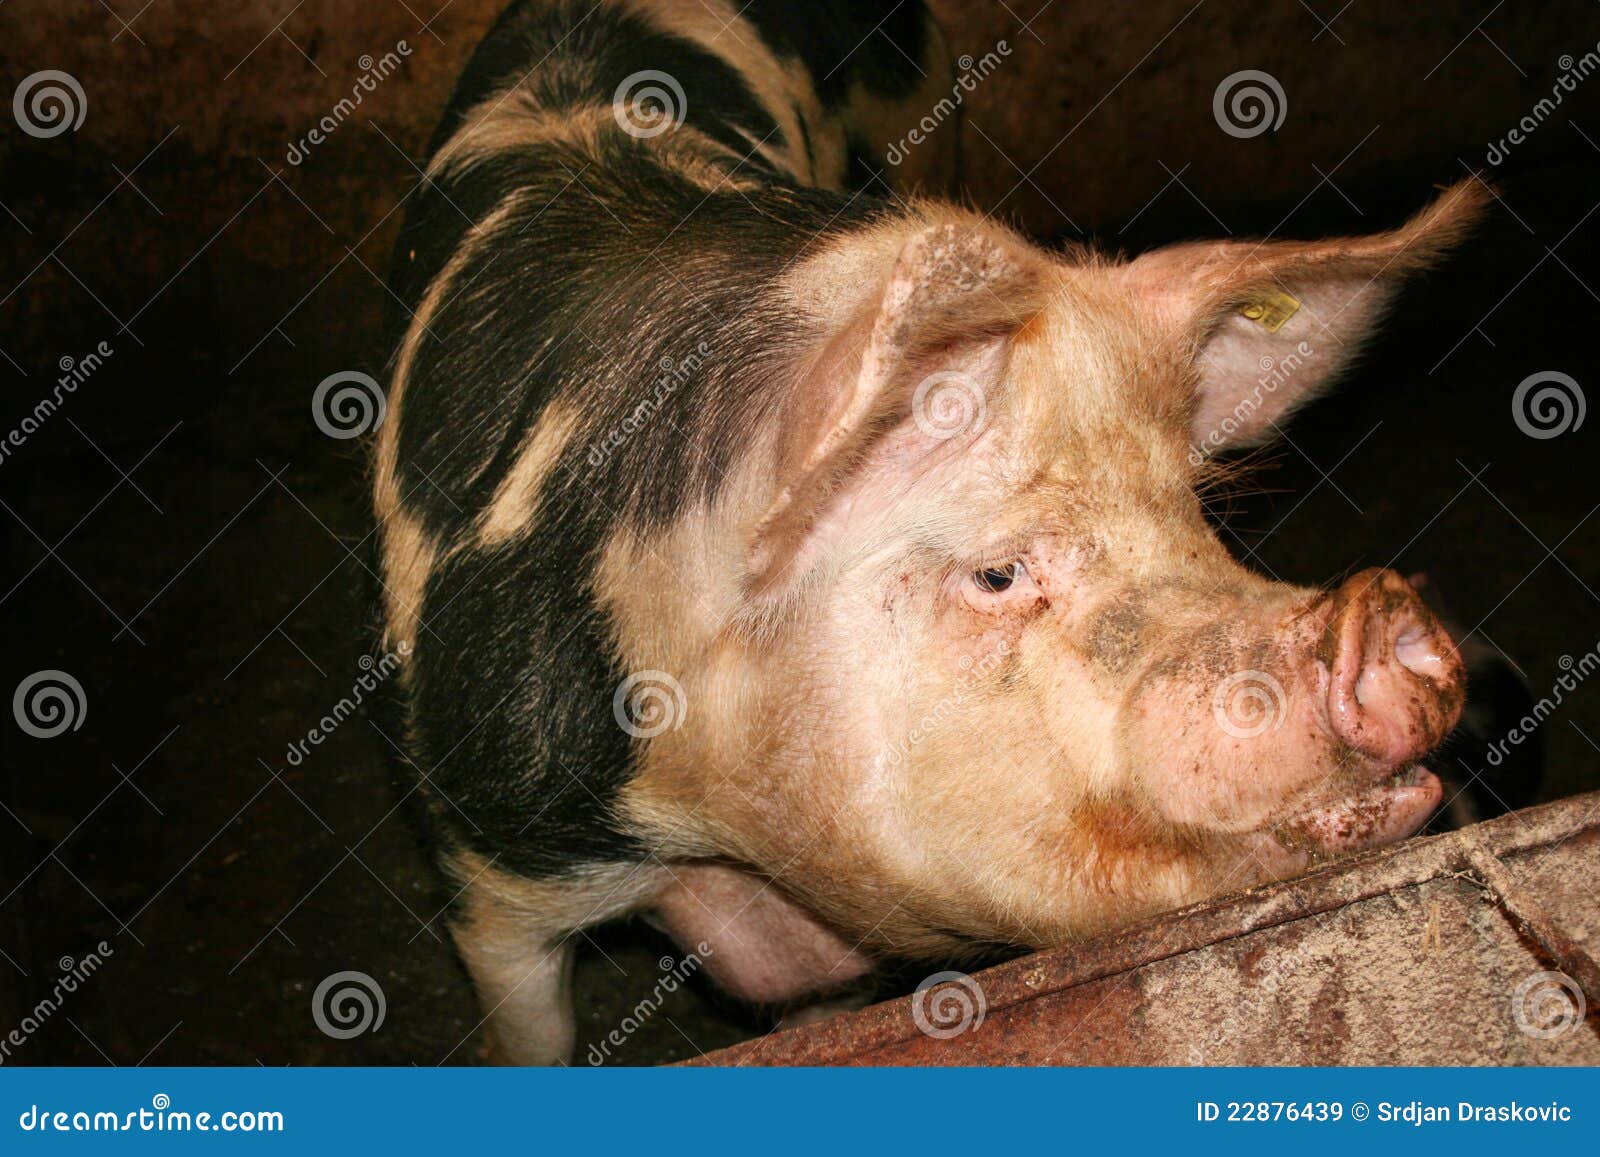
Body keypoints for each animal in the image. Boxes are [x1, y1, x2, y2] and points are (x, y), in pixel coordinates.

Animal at [373, 0, 1485, 1064]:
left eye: (1190, 515)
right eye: (995, 574)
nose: (1382, 608)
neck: (721, 843)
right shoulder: (489, 869)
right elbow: (532, 1033)